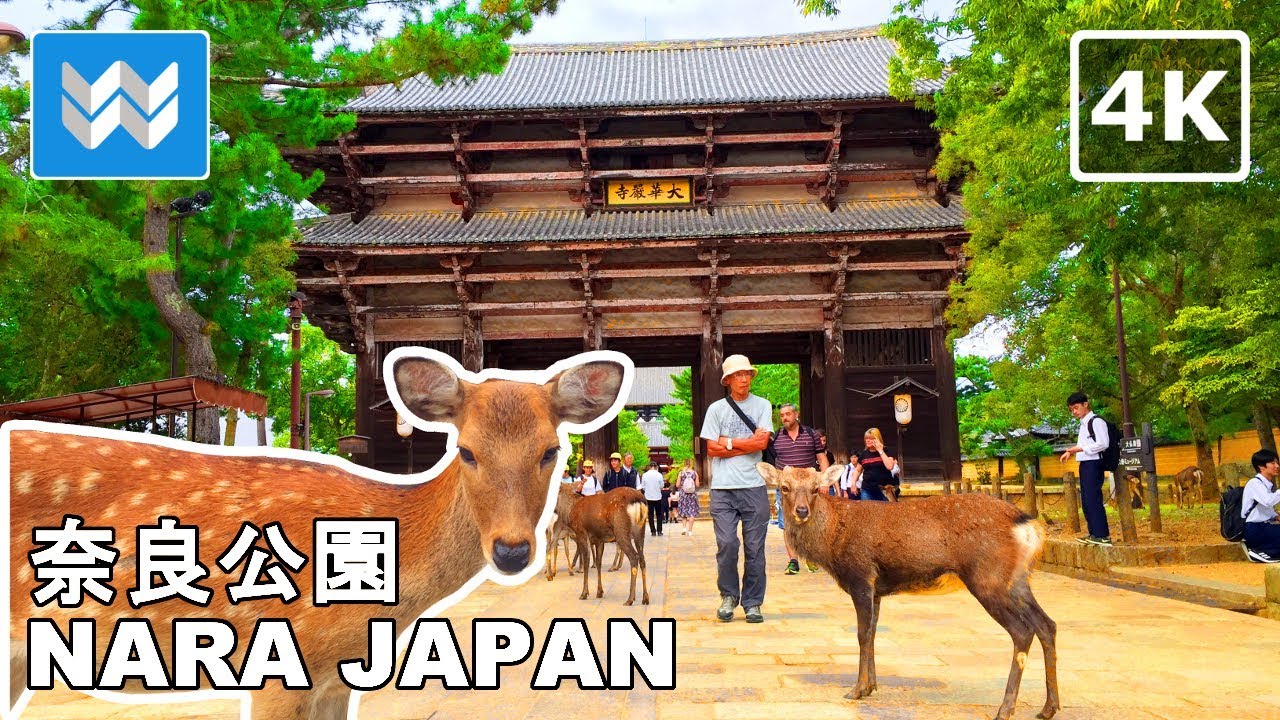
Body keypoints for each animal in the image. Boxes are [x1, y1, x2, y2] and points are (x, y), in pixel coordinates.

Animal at [758, 462, 1058, 720]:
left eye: (815, 488)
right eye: (784, 487)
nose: (801, 511)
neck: (833, 542)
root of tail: (1029, 526)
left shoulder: (860, 576)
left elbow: (861, 634)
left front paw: (857, 690)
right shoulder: (877, 589)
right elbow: (873, 633)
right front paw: (872, 686)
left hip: (988, 578)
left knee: (1022, 631)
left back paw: (1005, 708)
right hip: (1017, 580)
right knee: (1046, 624)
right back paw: (1048, 707)